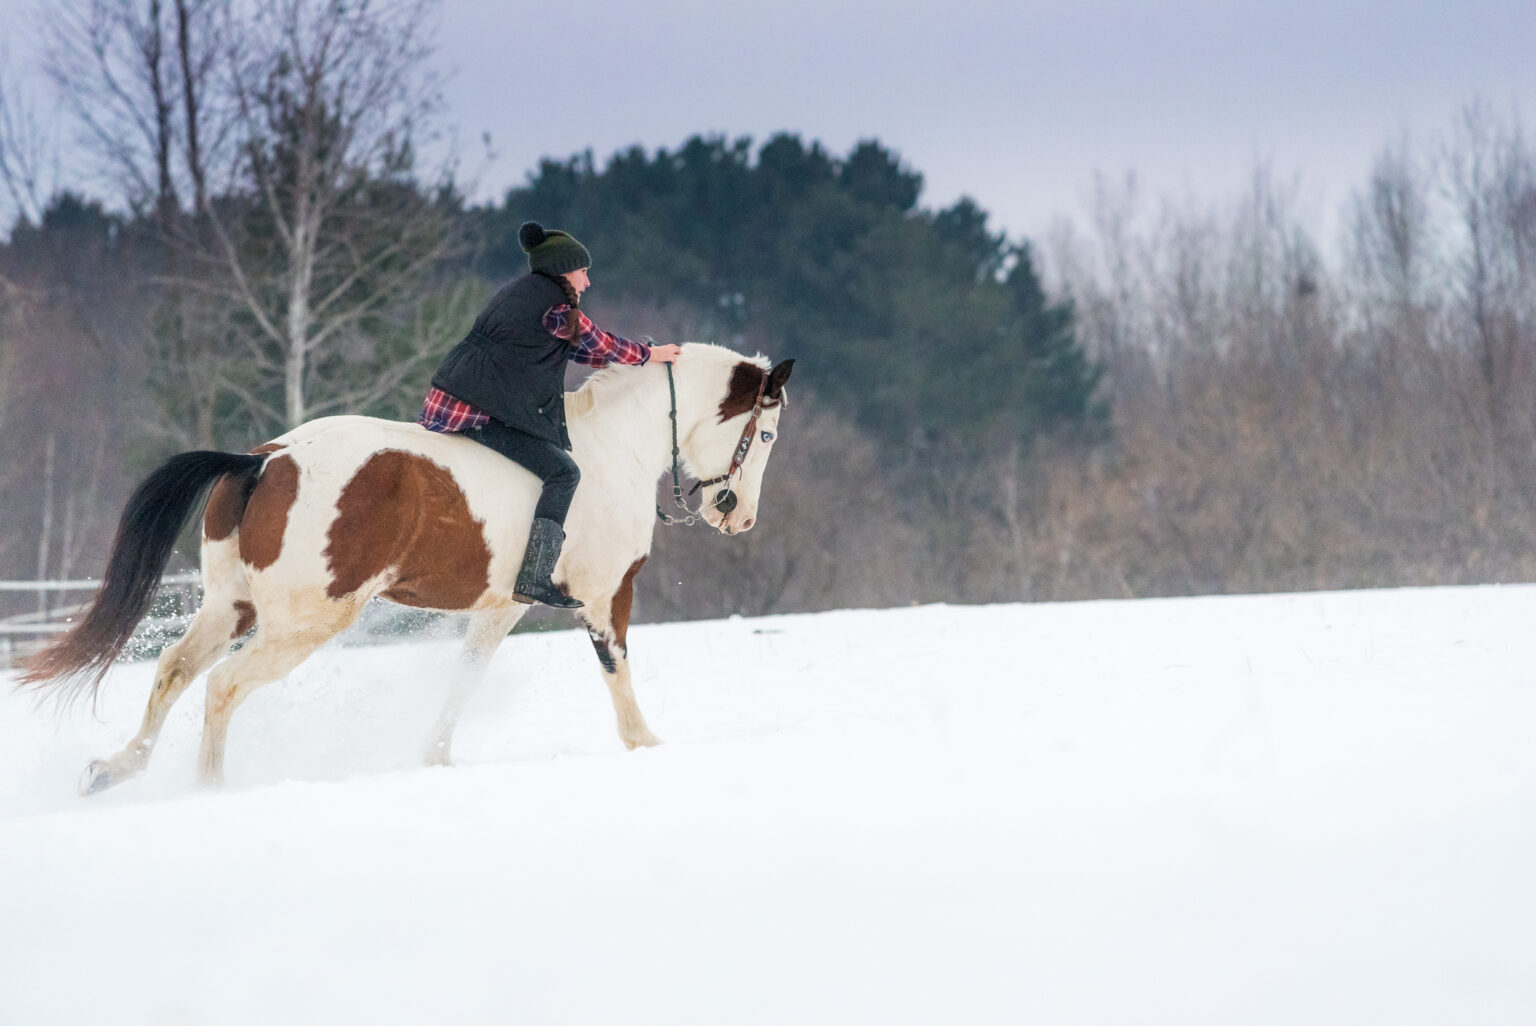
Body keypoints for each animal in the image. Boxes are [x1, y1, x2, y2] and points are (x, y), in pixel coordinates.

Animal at [19, 342, 793, 793]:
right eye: (766, 433)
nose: (740, 516)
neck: (612, 449)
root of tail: (265, 459)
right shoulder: (607, 597)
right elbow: (618, 676)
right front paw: (647, 746)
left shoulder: (503, 608)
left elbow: (465, 679)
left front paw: (437, 758)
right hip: (305, 622)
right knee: (223, 687)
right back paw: (208, 789)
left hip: (231, 607)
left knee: (175, 670)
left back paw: (115, 769)